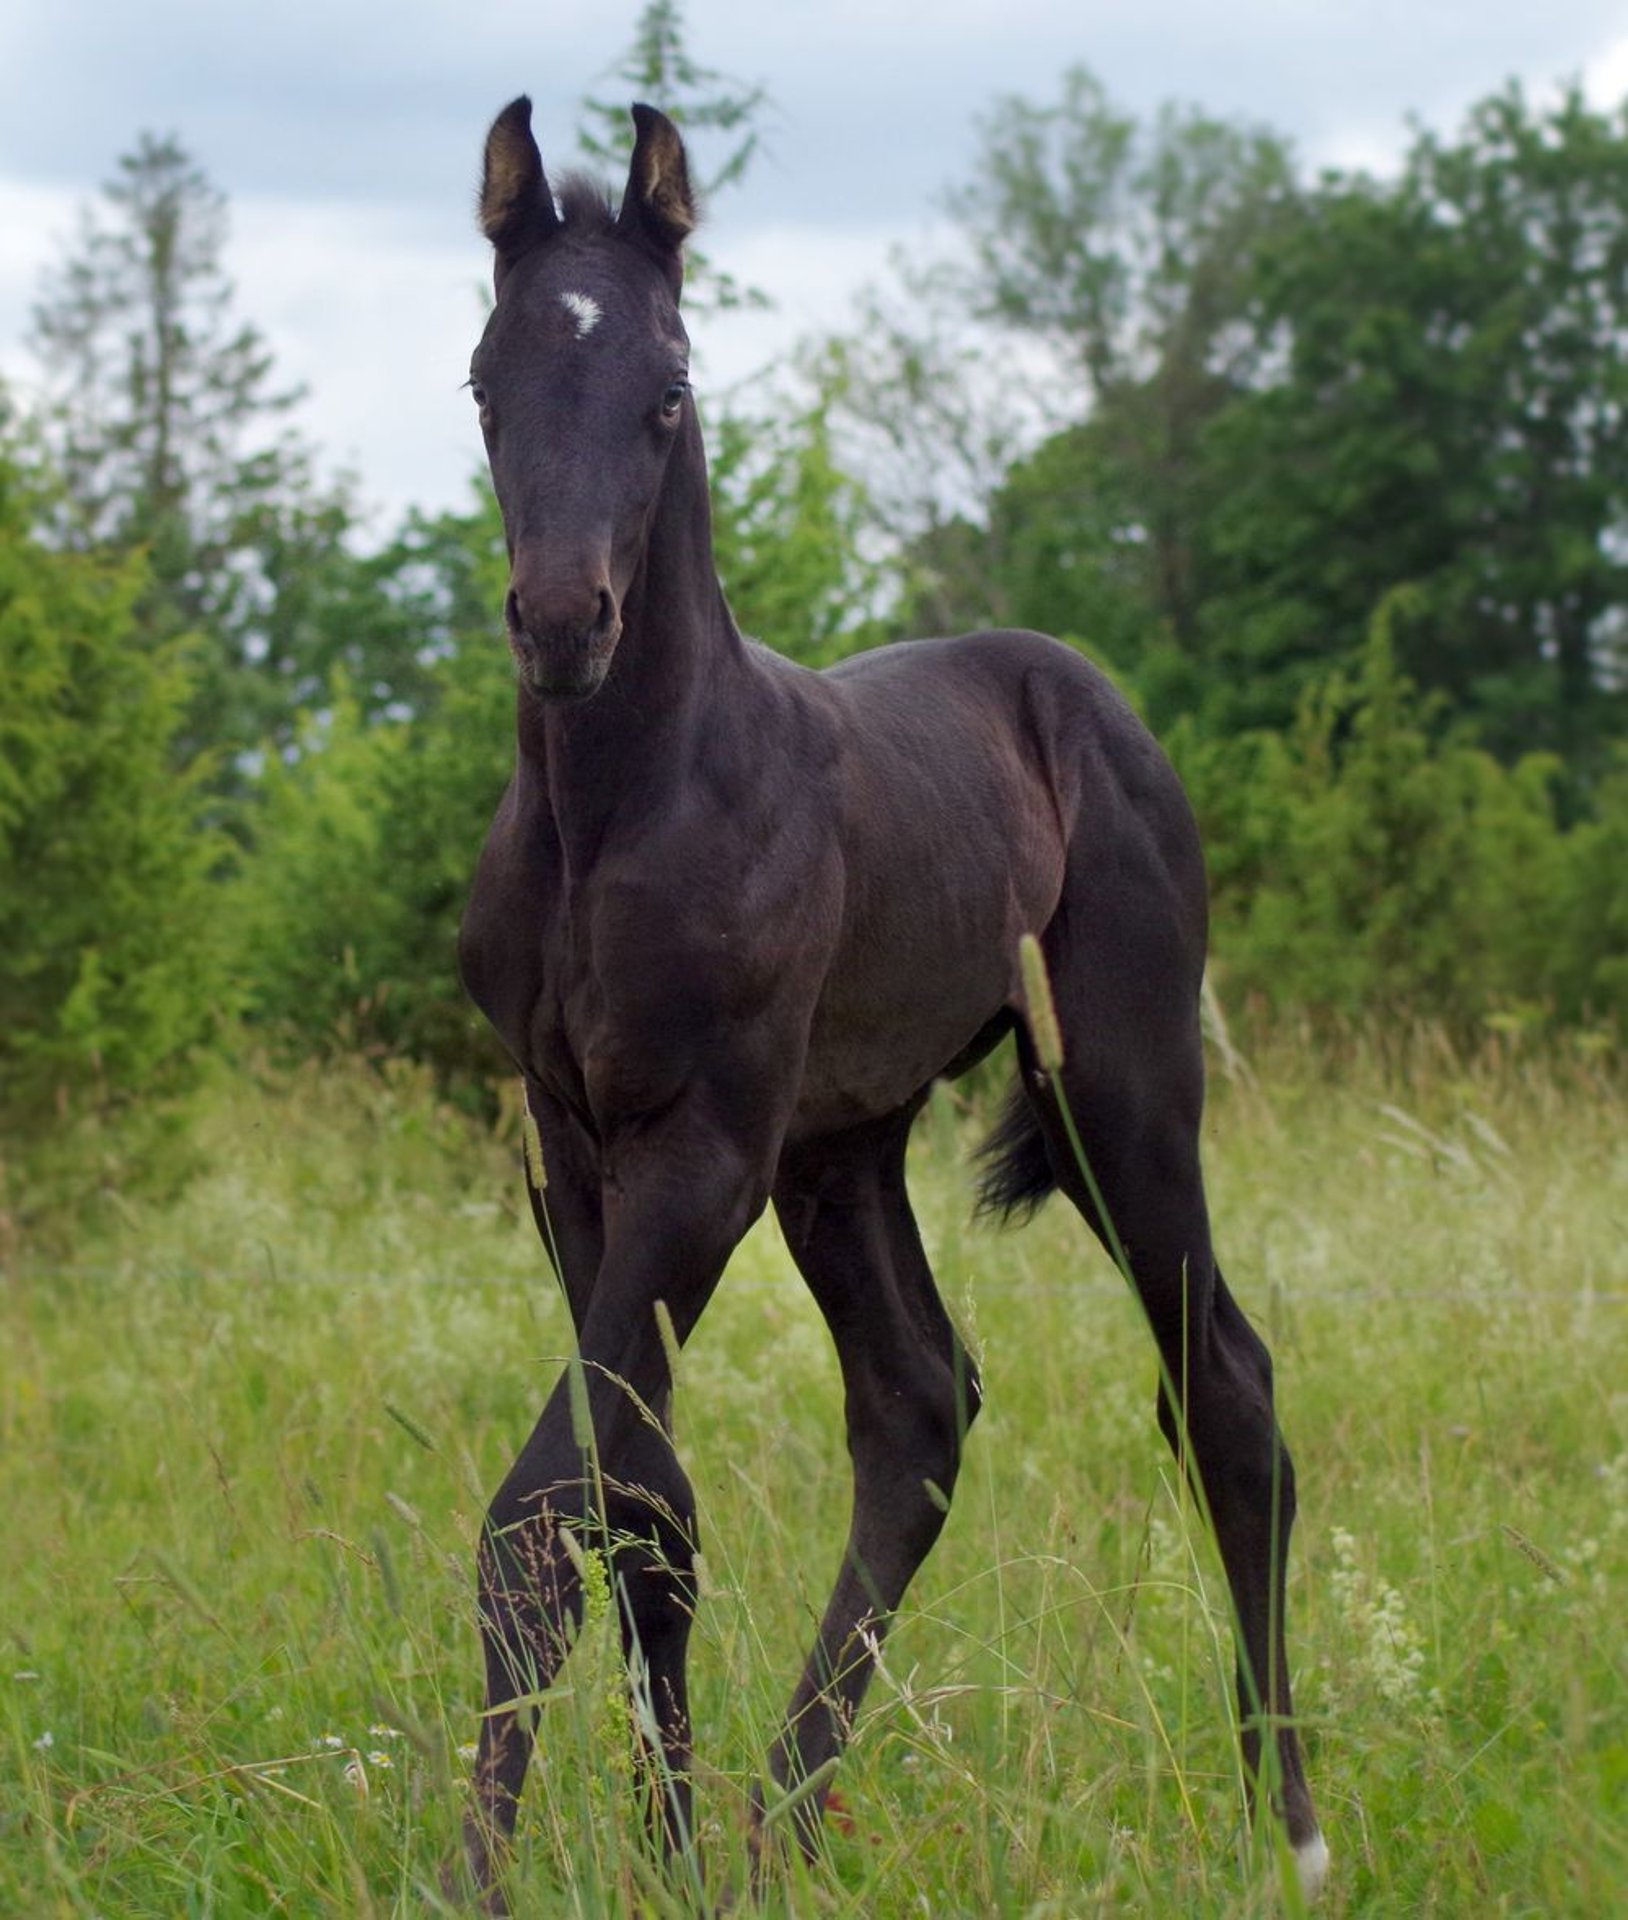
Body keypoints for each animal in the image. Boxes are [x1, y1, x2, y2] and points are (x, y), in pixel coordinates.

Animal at [454, 95, 1327, 1907]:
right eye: (487, 385)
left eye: (668, 389)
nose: (564, 623)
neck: (618, 808)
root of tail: (1086, 695)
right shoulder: (572, 1149)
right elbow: (639, 1504)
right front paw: (664, 1850)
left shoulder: (701, 1148)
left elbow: (544, 1510)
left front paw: (475, 1871)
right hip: (841, 1149)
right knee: (919, 1406)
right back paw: (779, 1822)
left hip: (1117, 1092)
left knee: (1223, 1386)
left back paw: (1287, 1823)